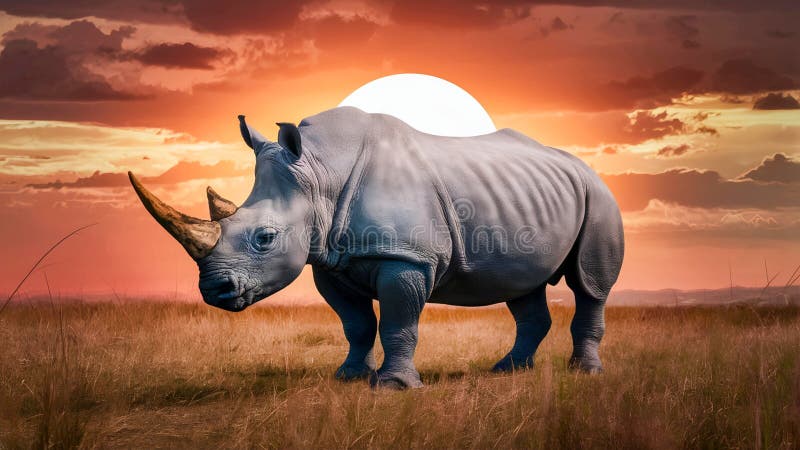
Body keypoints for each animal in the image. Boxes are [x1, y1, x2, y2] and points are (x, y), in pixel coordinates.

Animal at [129, 106, 624, 389]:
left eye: (265, 238)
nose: (214, 291)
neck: (318, 171)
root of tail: (584, 166)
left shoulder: (406, 257)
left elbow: (398, 322)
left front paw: (394, 387)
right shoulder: (329, 260)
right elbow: (357, 324)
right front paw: (349, 377)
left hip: (599, 197)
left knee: (589, 287)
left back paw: (585, 374)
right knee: (522, 286)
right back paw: (507, 371)